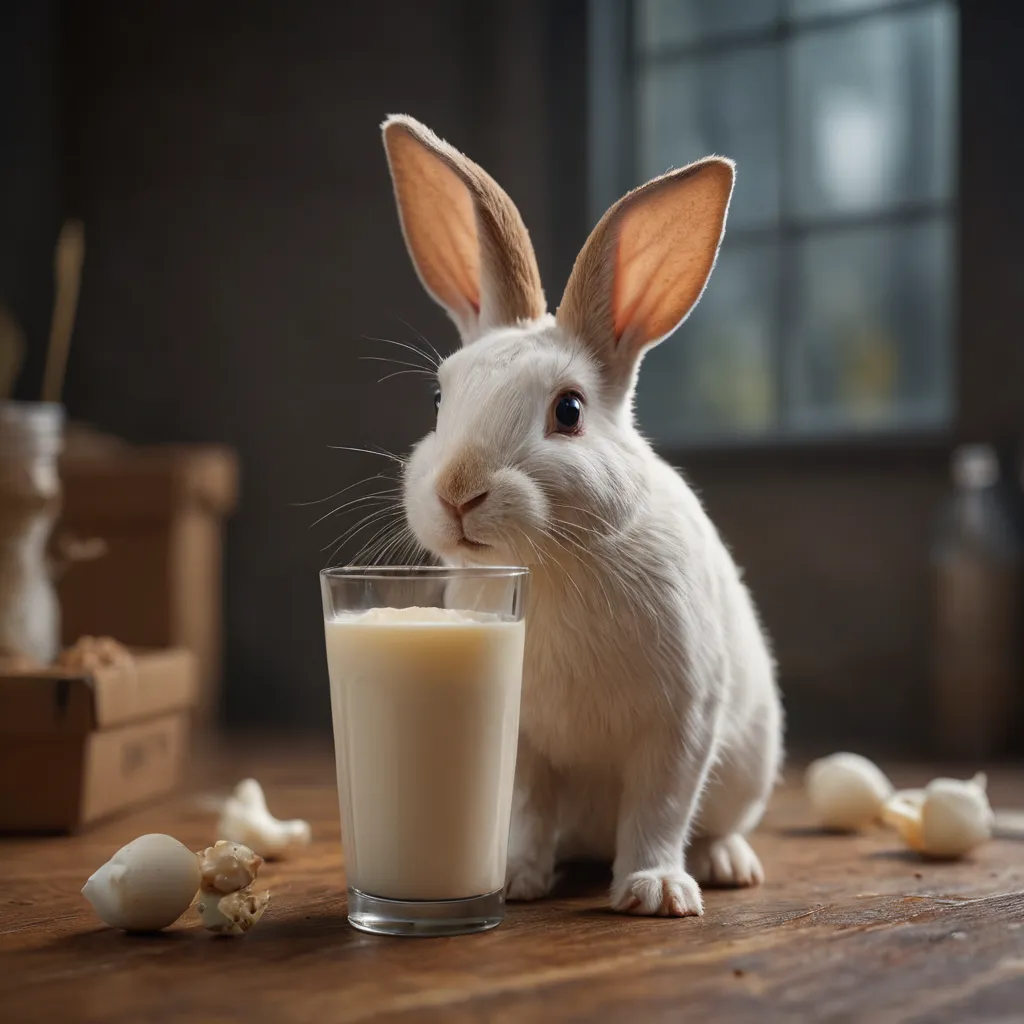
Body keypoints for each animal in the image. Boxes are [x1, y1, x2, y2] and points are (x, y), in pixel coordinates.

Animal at [381, 114, 783, 917]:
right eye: (441, 398)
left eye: (569, 411)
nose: (457, 492)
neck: (555, 561)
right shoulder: (527, 742)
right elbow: (529, 809)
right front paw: (520, 880)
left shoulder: (681, 723)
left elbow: (660, 807)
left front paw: (655, 891)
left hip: (746, 767)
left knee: (714, 821)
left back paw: (725, 864)